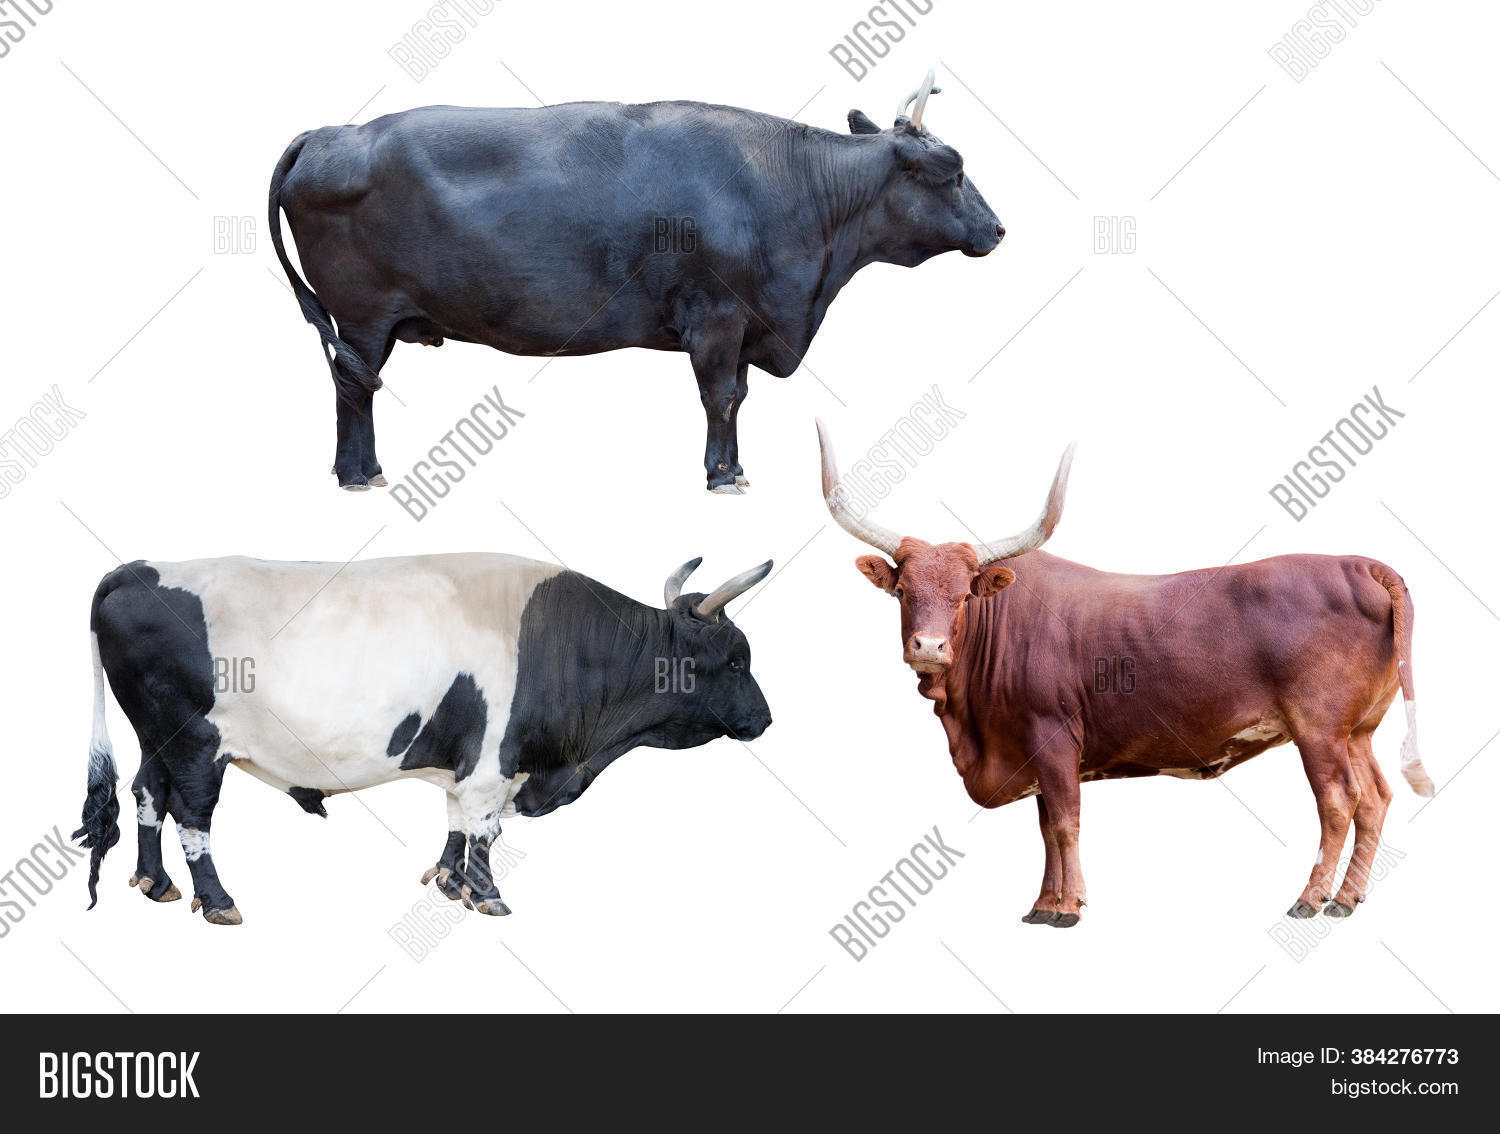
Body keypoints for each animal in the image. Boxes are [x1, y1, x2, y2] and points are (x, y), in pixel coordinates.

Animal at [73, 552, 773, 923]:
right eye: (736, 659)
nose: (766, 719)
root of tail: (137, 570)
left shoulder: (466, 764)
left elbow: (458, 822)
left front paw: (447, 880)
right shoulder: (495, 763)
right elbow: (487, 832)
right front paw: (487, 896)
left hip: (156, 737)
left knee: (147, 794)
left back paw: (154, 882)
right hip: (195, 744)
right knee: (192, 812)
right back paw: (216, 900)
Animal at [268, 70, 1004, 493]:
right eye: (953, 170)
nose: (999, 230)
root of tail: (333, 132)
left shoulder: (744, 324)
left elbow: (737, 397)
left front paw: (734, 466)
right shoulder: (717, 316)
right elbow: (721, 397)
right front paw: (722, 476)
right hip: (361, 315)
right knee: (353, 388)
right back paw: (358, 474)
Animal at [815, 421, 1434, 928]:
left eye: (964, 594)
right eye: (901, 591)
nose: (928, 646)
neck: (972, 726)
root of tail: (1356, 563)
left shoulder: (1053, 738)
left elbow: (1066, 823)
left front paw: (1069, 908)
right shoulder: (1035, 751)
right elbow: (1045, 827)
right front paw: (1043, 905)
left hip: (1319, 729)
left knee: (1339, 801)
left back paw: (1310, 899)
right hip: (1357, 731)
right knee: (1375, 798)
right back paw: (1347, 899)